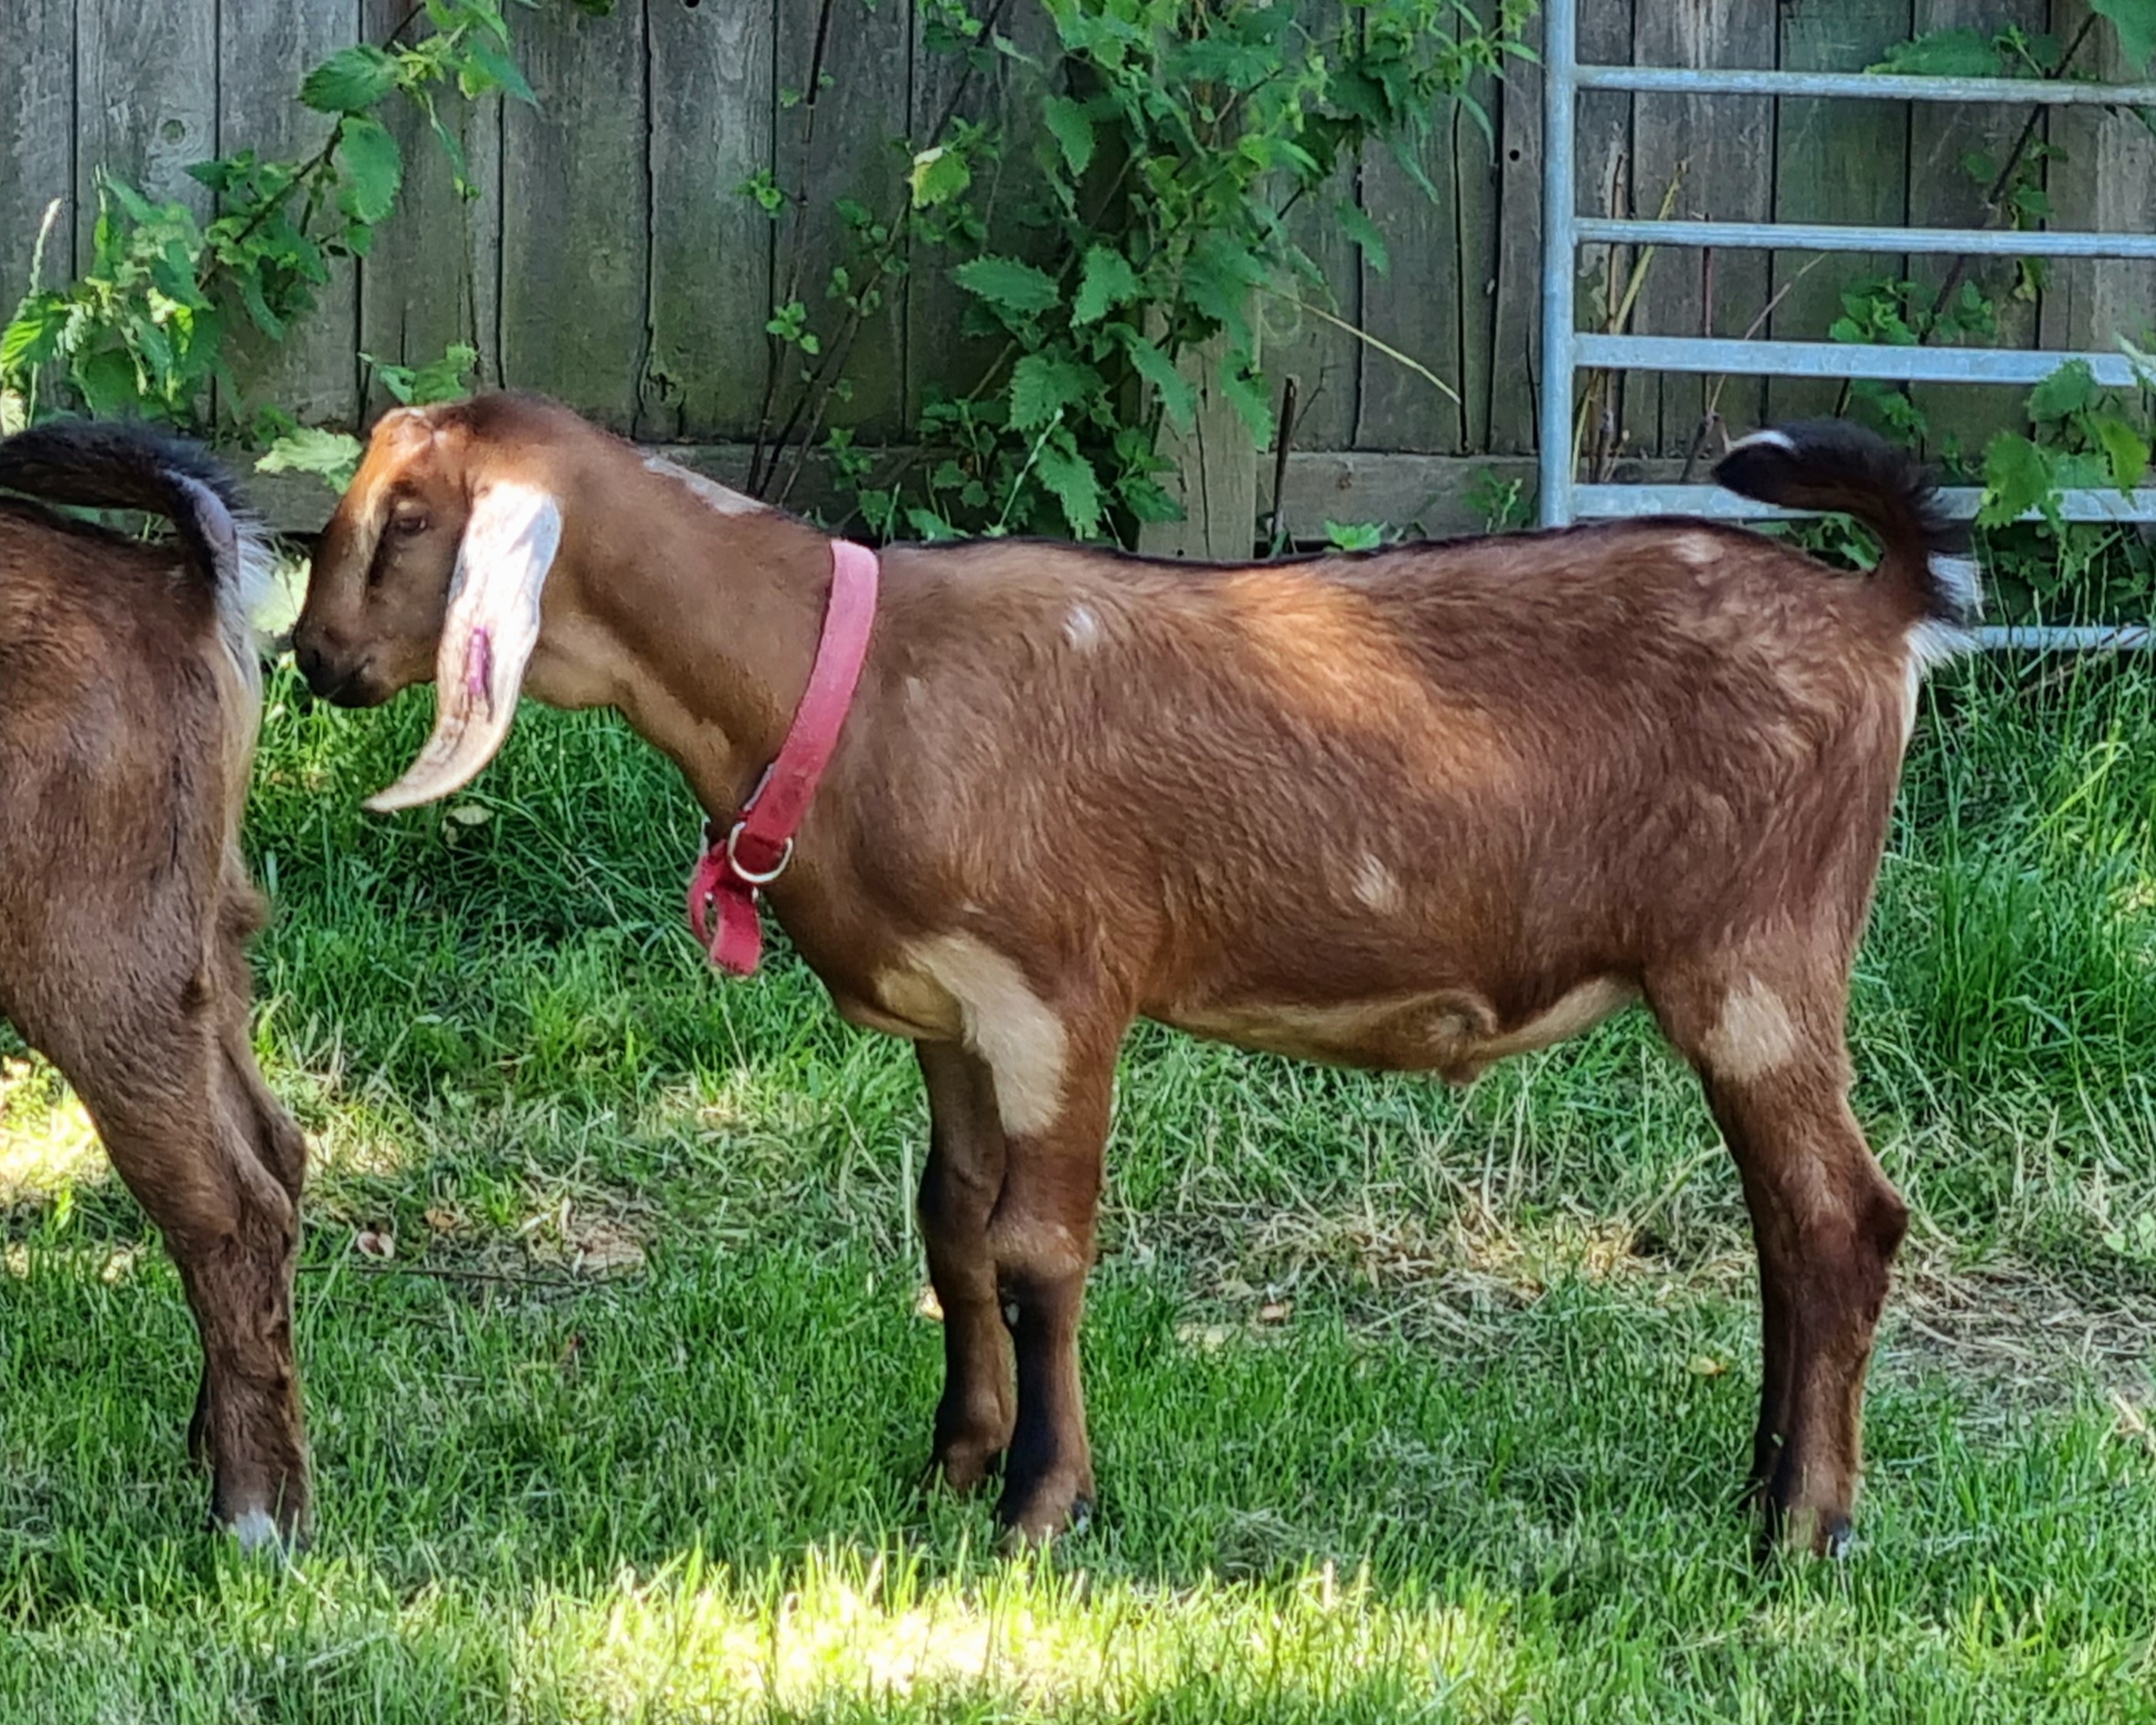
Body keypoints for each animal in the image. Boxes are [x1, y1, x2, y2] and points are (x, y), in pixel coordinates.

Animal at [0, 421, 308, 1548]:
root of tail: (177, 579)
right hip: (198, 951)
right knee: (279, 1153)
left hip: (97, 975)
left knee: (233, 1212)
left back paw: (259, 1519)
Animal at [292, 395, 1978, 1555]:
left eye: (409, 519)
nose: (312, 661)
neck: (844, 675)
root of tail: (1870, 611)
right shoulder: (953, 1017)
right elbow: (951, 1231)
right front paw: (950, 1462)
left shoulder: (1055, 997)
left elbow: (1039, 1250)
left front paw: (1044, 1505)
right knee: (1783, 1229)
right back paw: (1756, 1483)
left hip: (1757, 962)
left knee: (1840, 1217)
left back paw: (1802, 1526)